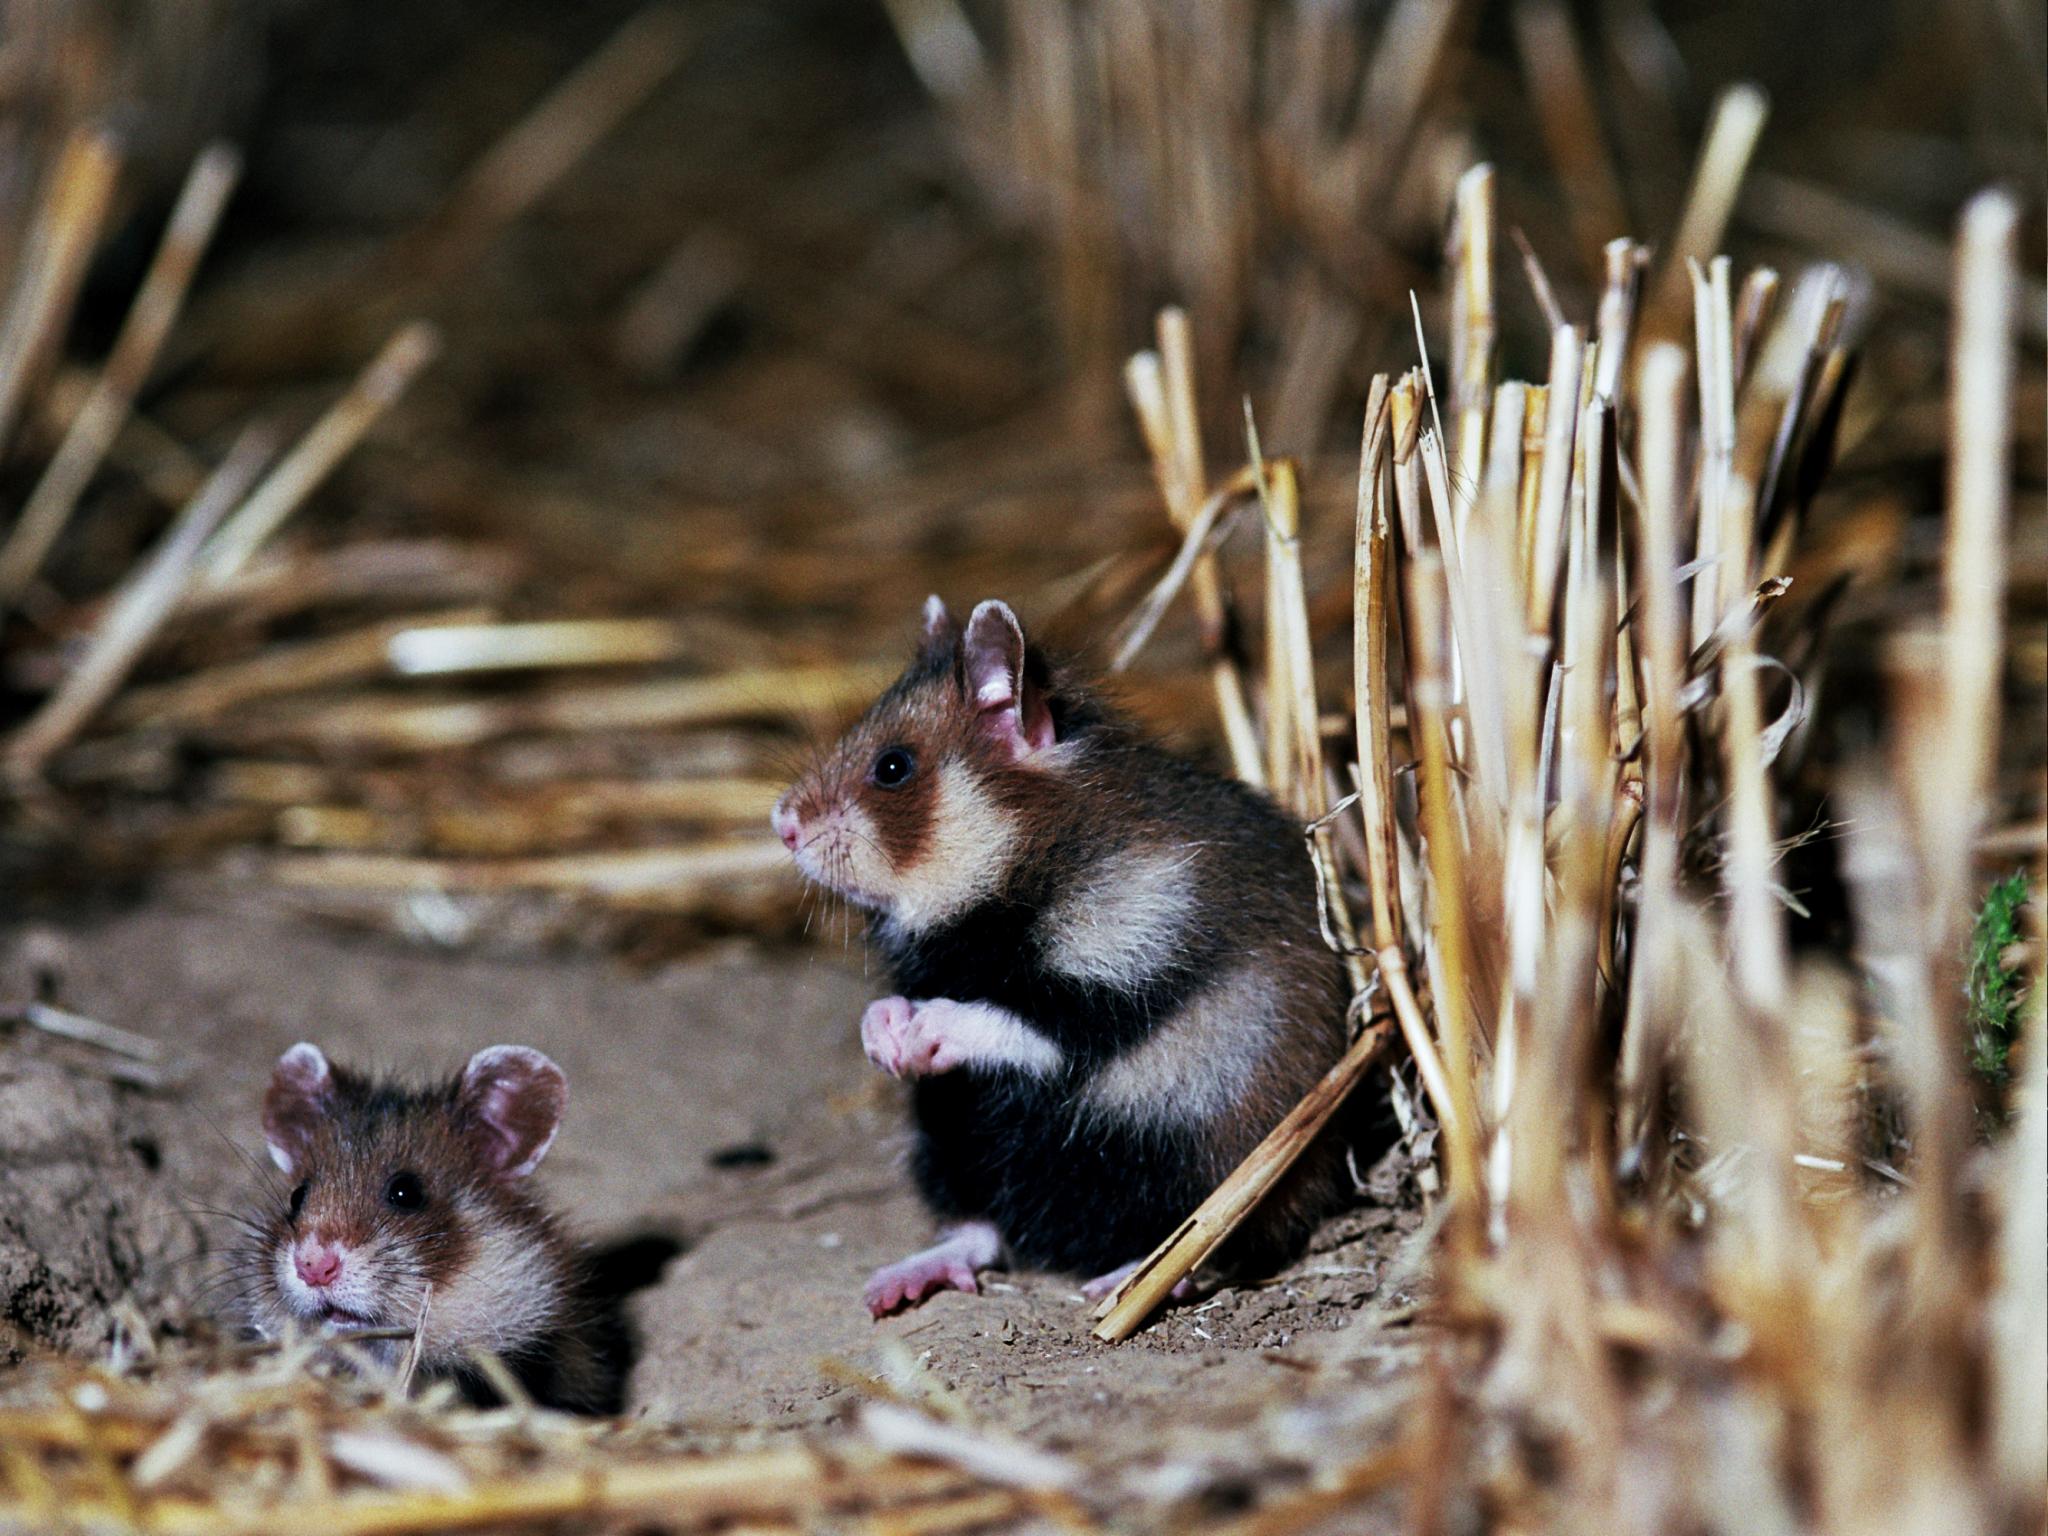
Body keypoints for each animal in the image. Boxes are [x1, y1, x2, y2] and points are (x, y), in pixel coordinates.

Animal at [773, 596, 1352, 1316]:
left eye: (892, 767)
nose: (780, 824)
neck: (1019, 861)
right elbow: (892, 1005)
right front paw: (886, 1038)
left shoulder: (1117, 972)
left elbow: (1014, 1022)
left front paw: (924, 1032)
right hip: (951, 1140)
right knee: (982, 1229)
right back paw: (897, 1285)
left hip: (1211, 1154)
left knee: (1210, 1241)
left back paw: (1123, 1282)